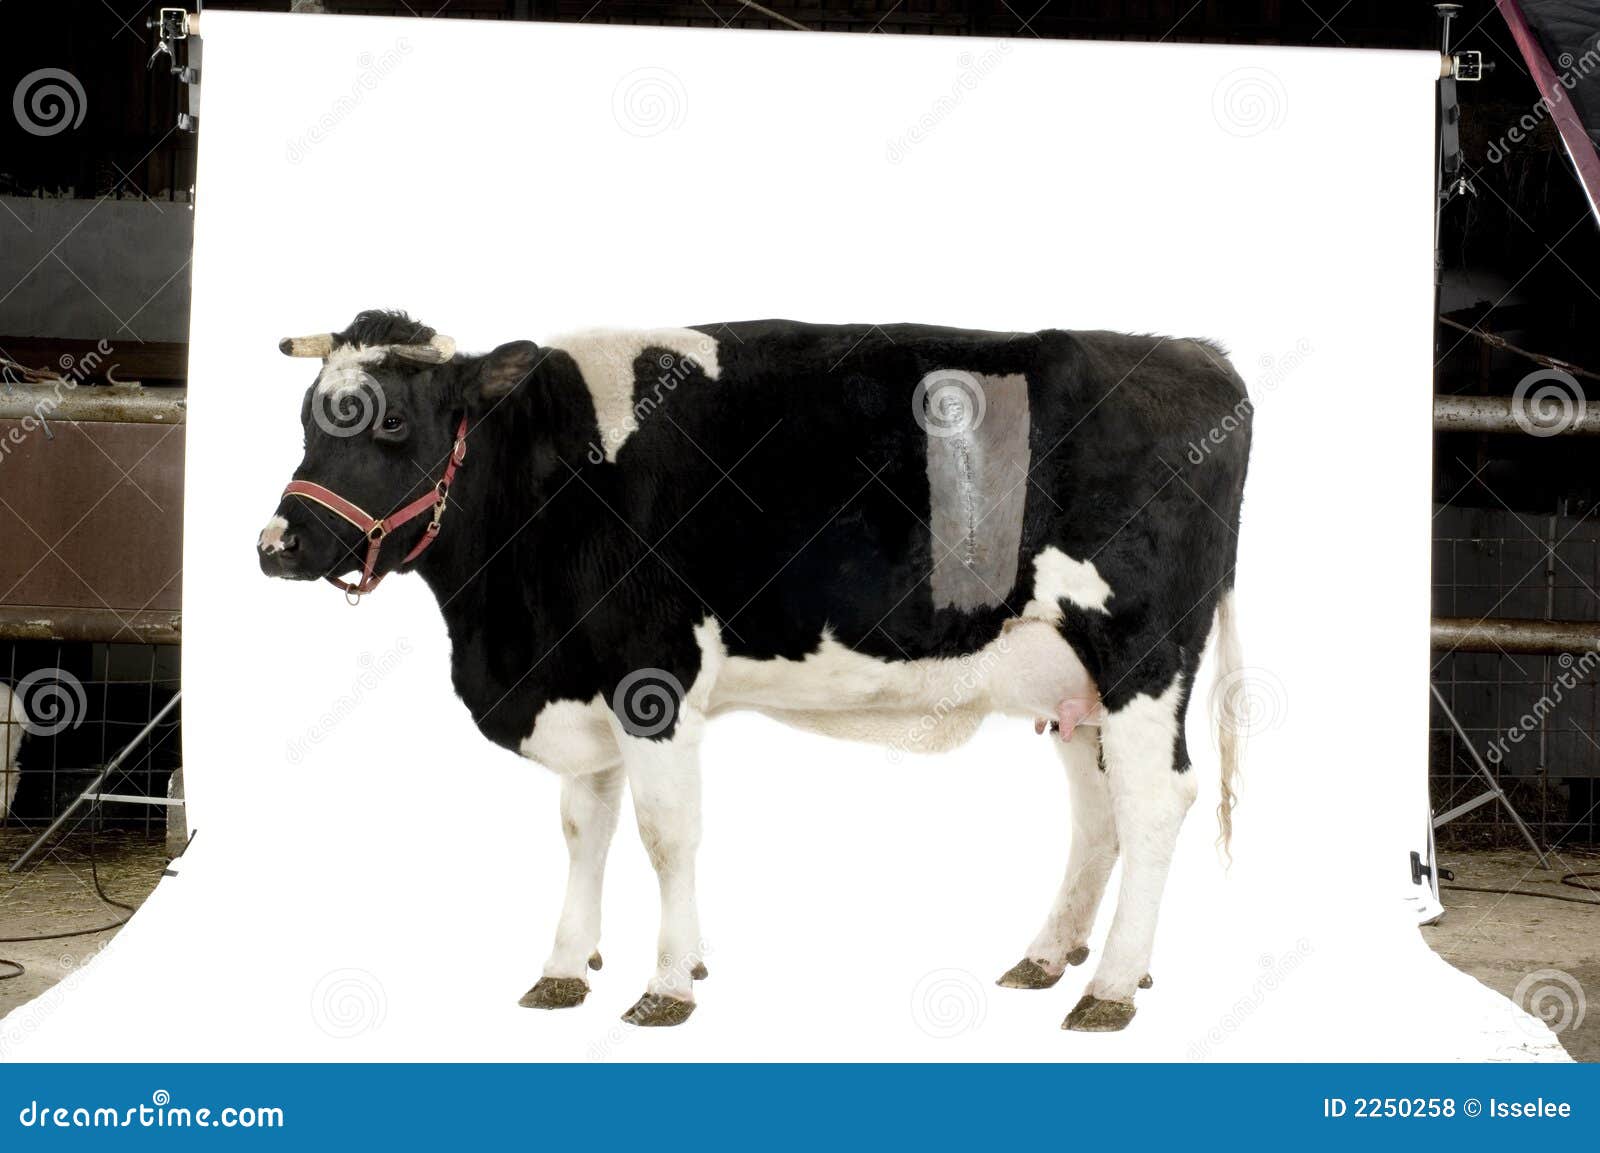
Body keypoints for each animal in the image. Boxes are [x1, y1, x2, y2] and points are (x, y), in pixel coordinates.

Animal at [257, 310, 1251, 1032]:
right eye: (306, 417)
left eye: (390, 419)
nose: (278, 544)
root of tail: (1195, 353)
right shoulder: (581, 680)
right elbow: (585, 829)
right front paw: (564, 968)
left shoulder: (650, 675)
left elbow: (665, 833)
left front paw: (668, 983)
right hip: (1070, 681)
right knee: (1099, 815)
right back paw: (1048, 958)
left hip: (1141, 656)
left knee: (1154, 803)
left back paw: (1109, 988)